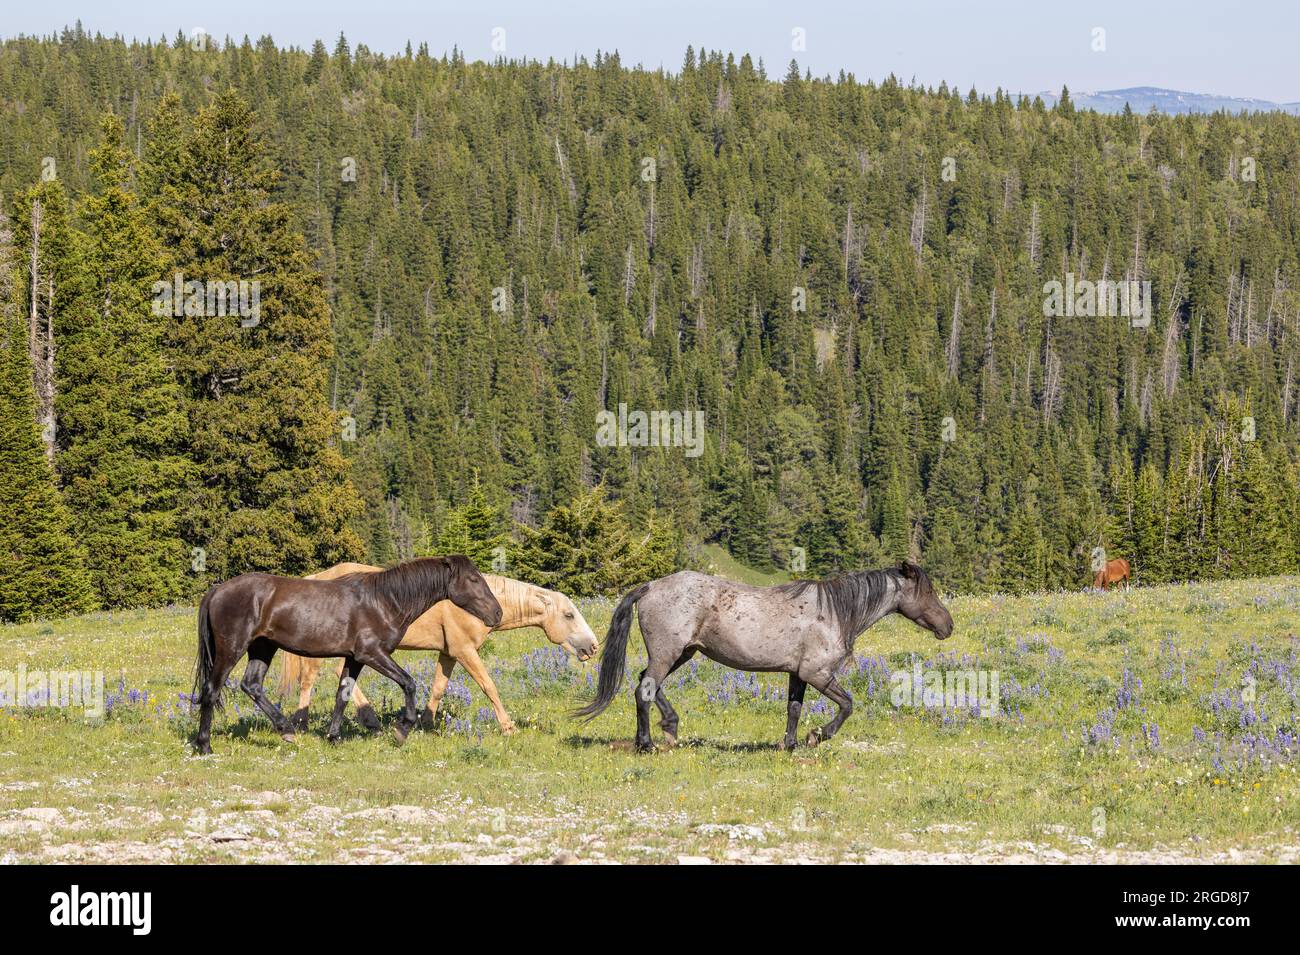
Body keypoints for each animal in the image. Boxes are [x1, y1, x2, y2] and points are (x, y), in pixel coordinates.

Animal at [192, 555, 502, 755]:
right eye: (473, 579)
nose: (497, 613)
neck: (383, 601)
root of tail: (217, 590)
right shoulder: (371, 654)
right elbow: (409, 683)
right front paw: (402, 730)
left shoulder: (354, 659)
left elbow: (342, 695)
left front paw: (333, 737)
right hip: (232, 649)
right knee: (212, 690)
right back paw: (205, 745)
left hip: (263, 647)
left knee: (252, 685)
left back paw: (286, 730)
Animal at [277, 563, 598, 735]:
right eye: (569, 615)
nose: (593, 646)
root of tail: (316, 578)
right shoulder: (465, 651)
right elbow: (489, 686)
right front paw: (508, 727)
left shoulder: (448, 653)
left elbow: (438, 688)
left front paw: (426, 722)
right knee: (310, 678)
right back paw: (305, 723)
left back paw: (369, 720)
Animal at [576, 562, 954, 752]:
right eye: (928, 591)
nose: (947, 626)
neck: (835, 611)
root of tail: (651, 586)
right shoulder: (818, 673)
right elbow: (847, 705)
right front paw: (817, 736)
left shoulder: (798, 674)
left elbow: (794, 709)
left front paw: (790, 744)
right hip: (668, 653)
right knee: (644, 690)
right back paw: (646, 744)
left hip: (682, 653)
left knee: (647, 684)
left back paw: (669, 726)